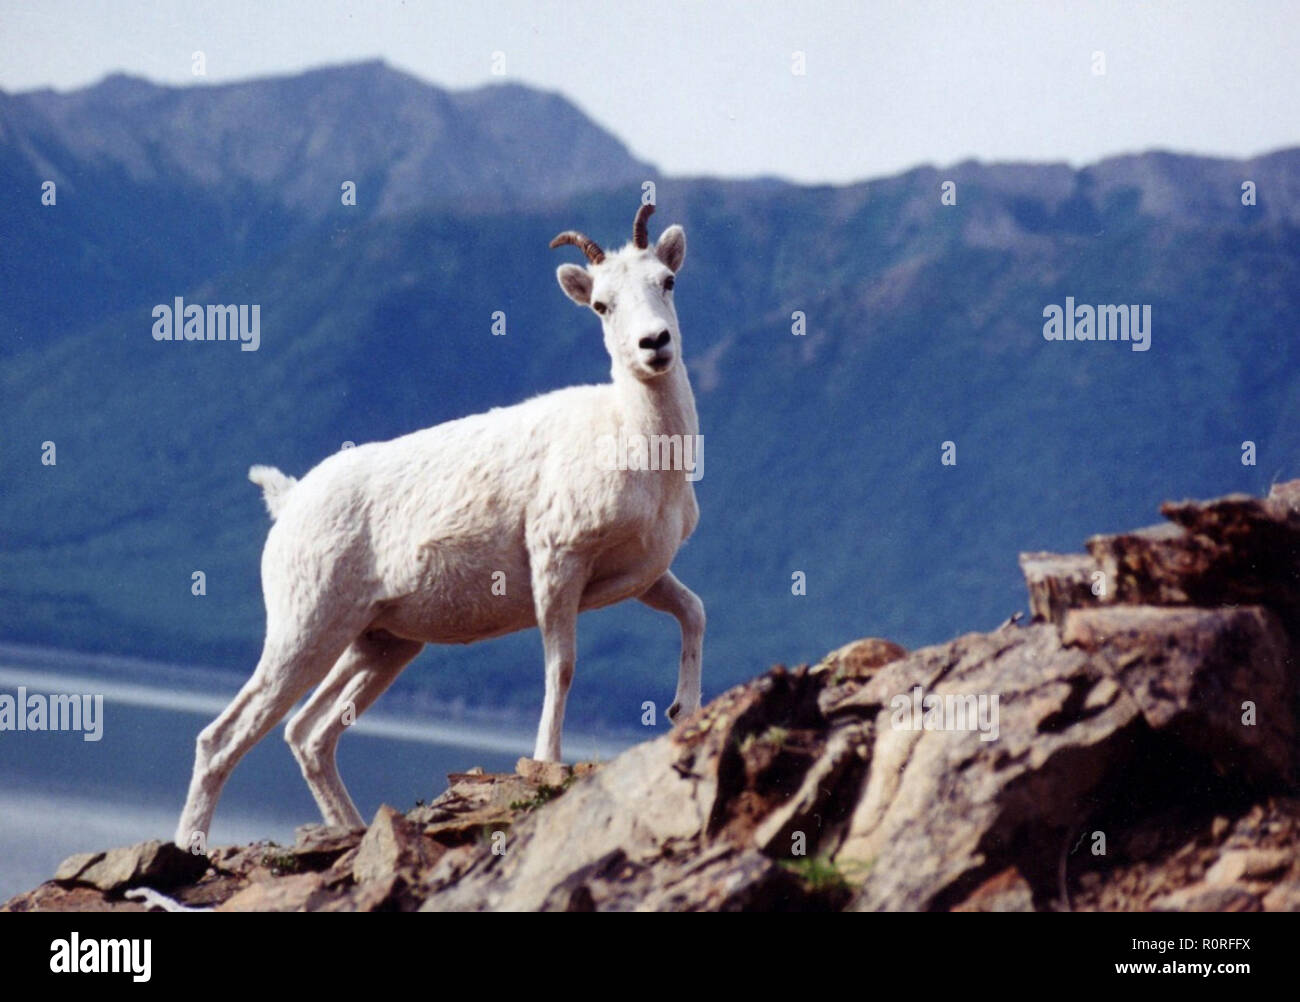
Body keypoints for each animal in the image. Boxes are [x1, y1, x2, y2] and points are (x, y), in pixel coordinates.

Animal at [175, 203, 705, 848]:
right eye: (601, 304)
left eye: (667, 281)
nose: (654, 344)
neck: (638, 445)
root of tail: (289, 498)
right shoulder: (557, 565)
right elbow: (561, 668)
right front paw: (547, 761)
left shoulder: (644, 575)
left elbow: (694, 611)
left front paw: (683, 711)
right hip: (305, 631)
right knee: (223, 738)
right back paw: (192, 844)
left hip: (379, 643)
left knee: (309, 733)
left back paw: (352, 827)